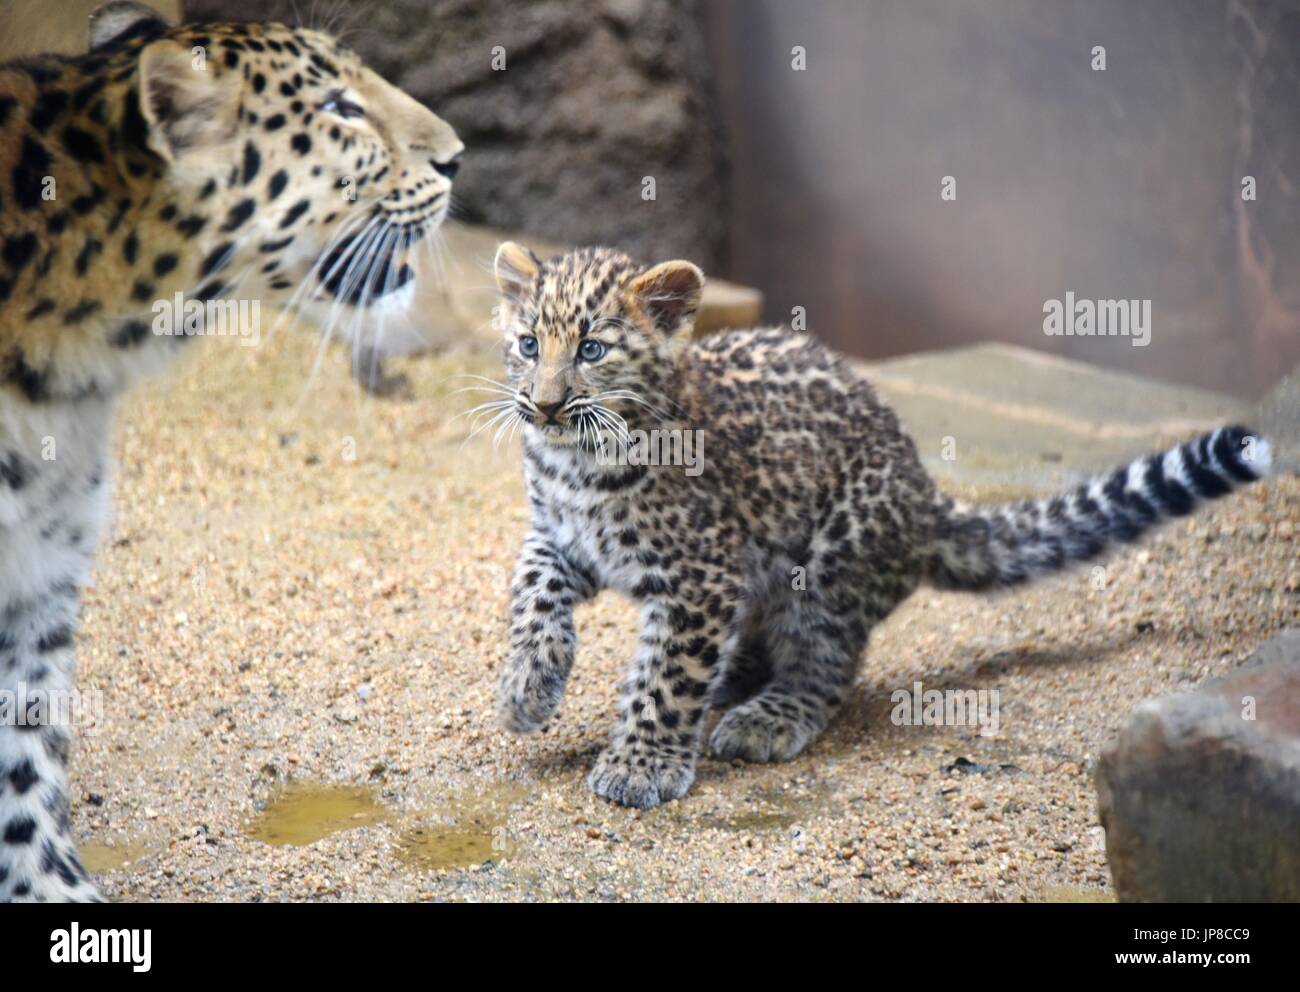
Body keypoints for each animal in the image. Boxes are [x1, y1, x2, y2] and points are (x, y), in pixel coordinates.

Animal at [486, 242, 1274, 810]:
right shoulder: (557, 537)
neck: (578, 463)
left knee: (826, 661)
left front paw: (640, 764)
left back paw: (763, 717)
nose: (544, 404)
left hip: (830, 559)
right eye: (527, 345)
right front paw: (527, 688)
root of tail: (926, 499)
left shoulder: (698, 573)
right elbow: (530, 593)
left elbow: (667, 676)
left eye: (592, 349)